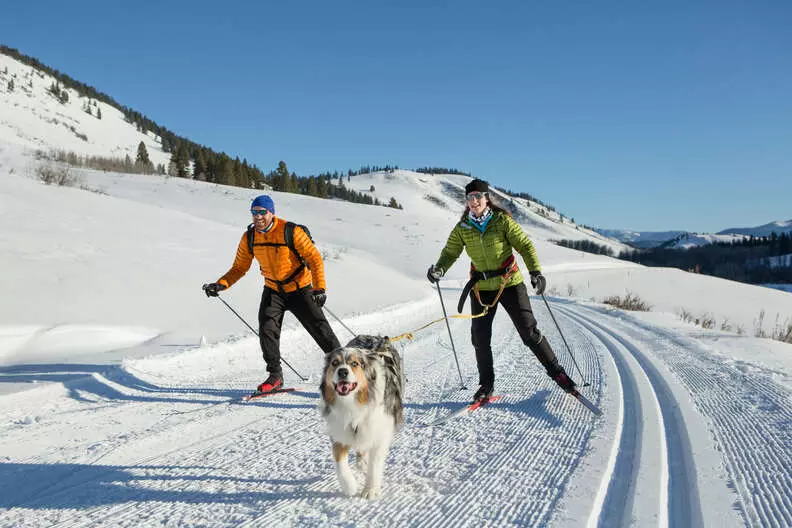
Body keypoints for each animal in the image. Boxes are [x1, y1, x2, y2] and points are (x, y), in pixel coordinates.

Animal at [318, 334, 406, 500]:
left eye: (355, 364)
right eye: (335, 363)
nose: (342, 372)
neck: (353, 403)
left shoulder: (379, 430)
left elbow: (374, 463)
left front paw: (370, 490)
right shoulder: (339, 429)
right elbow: (340, 461)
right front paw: (350, 486)